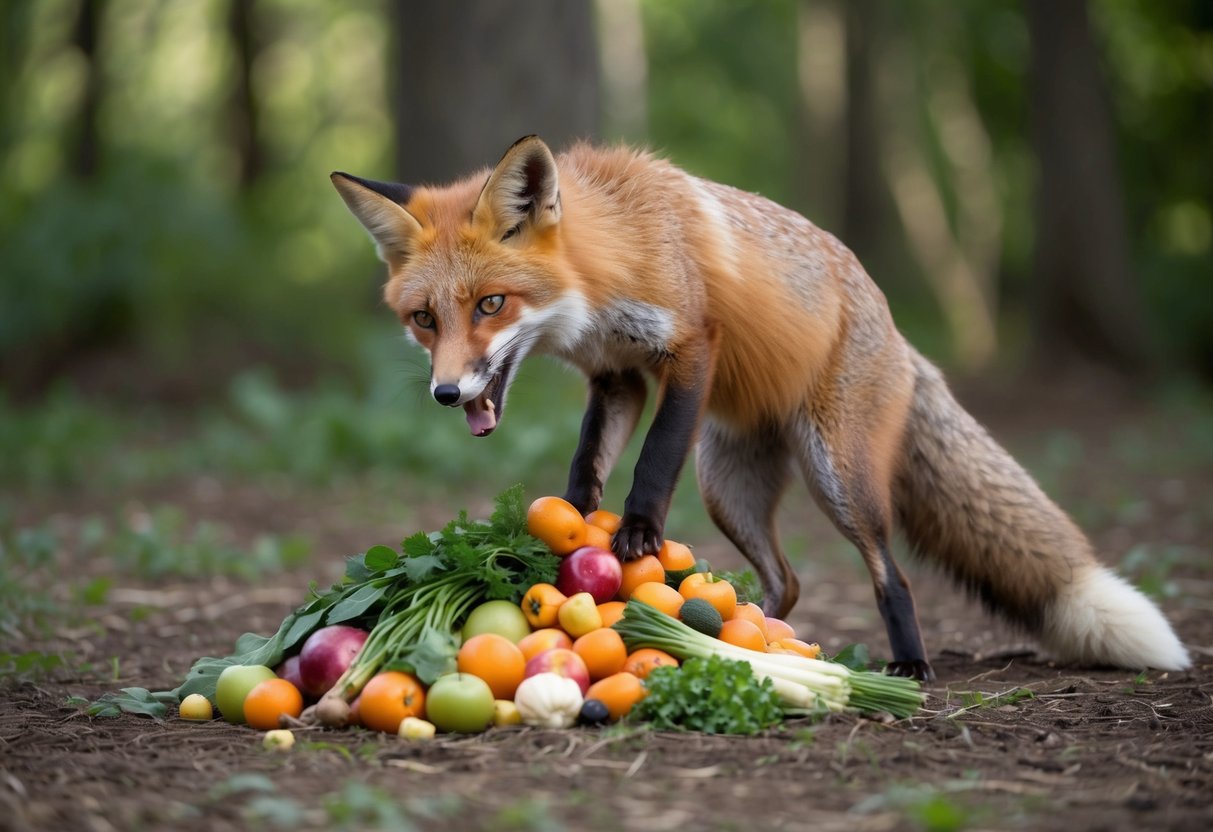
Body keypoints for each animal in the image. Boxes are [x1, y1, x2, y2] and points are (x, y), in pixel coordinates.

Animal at [331, 135, 1190, 680]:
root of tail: (898, 333)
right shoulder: (617, 377)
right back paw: (747, 638)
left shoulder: (689, 347)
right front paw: (569, 532)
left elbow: (652, 460)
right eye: (424, 319)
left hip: (835, 477)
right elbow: (586, 465)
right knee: (786, 585)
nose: (447, 392)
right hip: (728, 490)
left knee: (889, 573)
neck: (609, 259)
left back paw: (907, 661)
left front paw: (635, 534)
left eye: (491, 304)